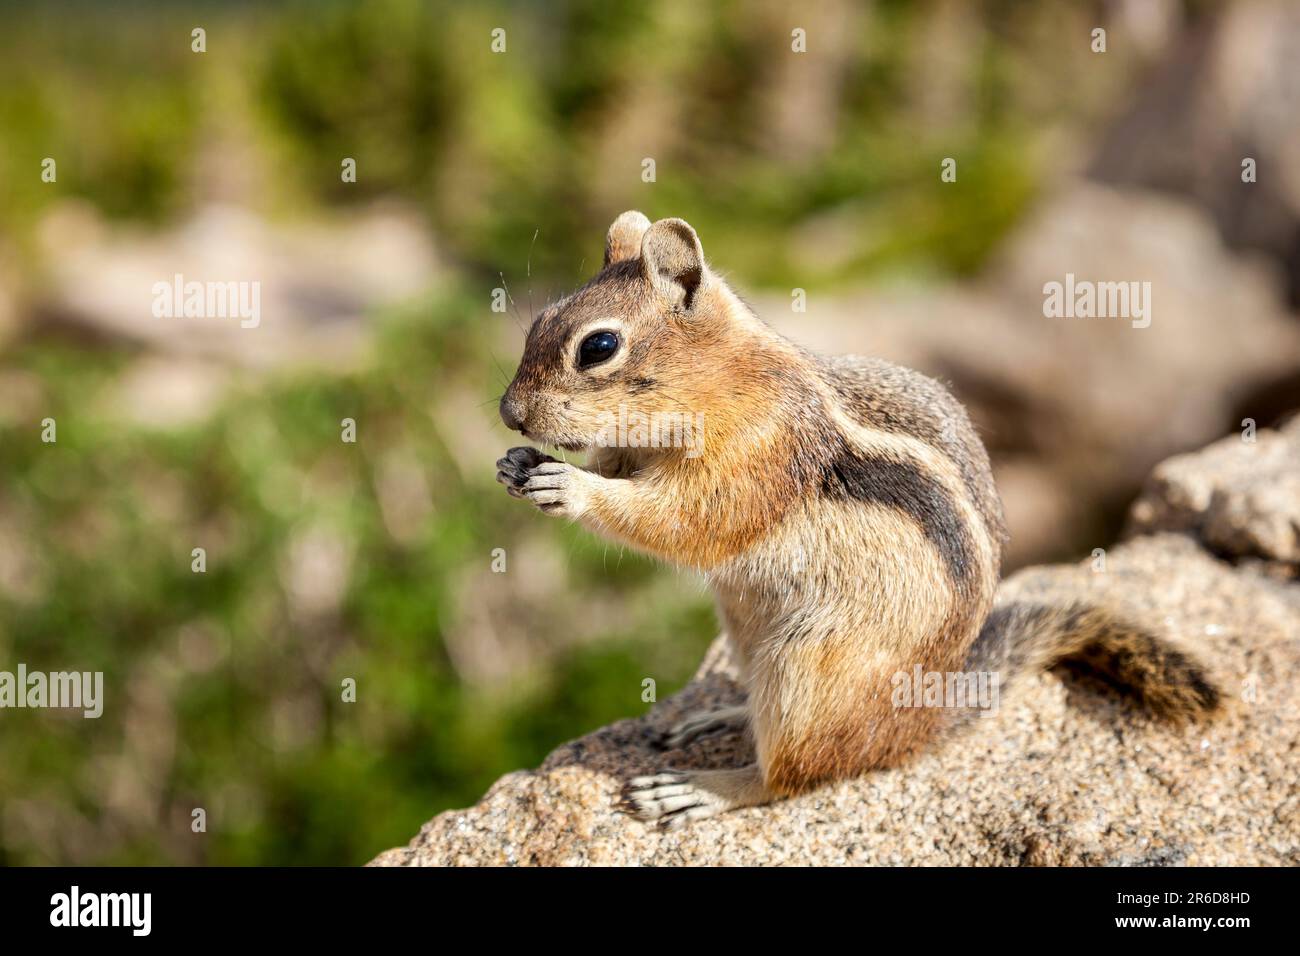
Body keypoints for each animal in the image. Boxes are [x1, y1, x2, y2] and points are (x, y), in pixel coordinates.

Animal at [495, 211, 1222, 828]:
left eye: (599, 346)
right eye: (537, 324)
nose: (510, 414)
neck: (726, 378)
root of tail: (920, 723)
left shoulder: (758, 454)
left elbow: (689, 523)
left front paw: (569, 485)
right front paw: (515, 465)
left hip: (805, 668)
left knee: (793, 775)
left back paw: (703, 787)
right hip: (749, 633)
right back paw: (722, 714)